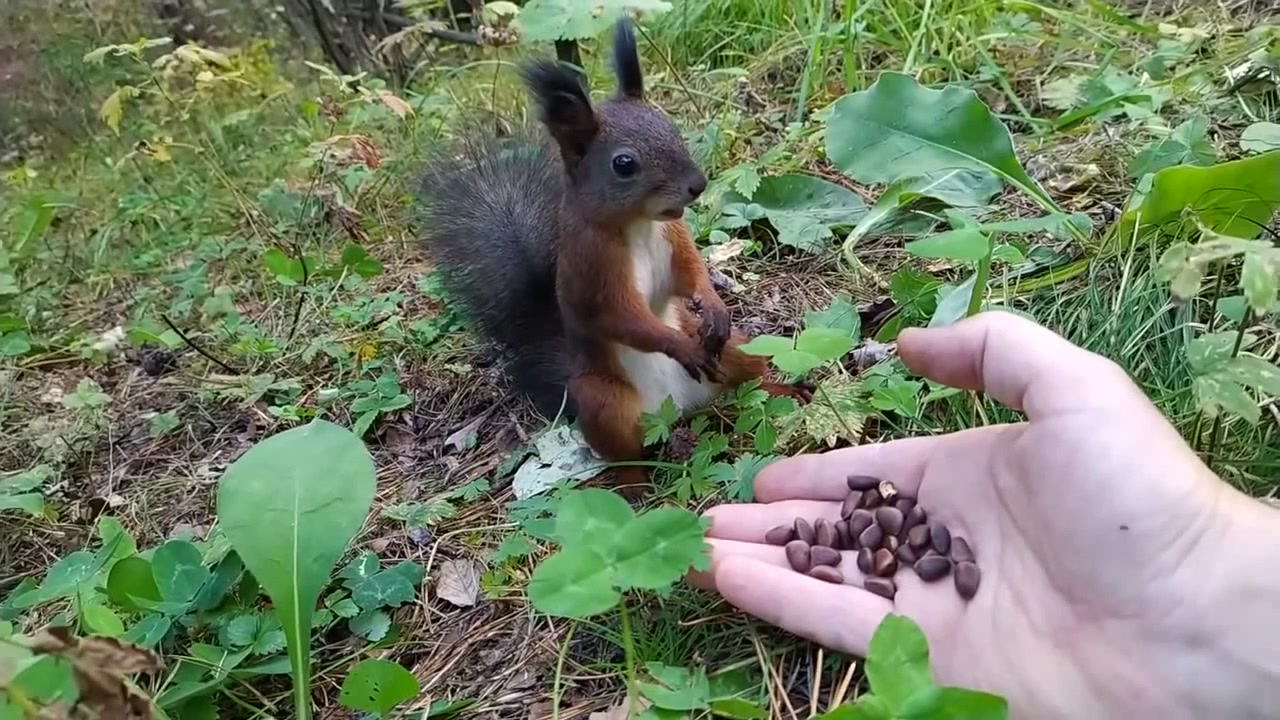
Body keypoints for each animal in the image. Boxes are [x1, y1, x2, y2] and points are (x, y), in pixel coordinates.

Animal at [416, 17, 813, 495]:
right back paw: (636, 489)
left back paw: (787, 391)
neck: (639, 225)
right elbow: (622, 317)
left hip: (737, 351)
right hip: (605, 402)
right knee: (625, 455)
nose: (697, 184)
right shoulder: (594, 268)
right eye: (624, 164)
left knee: (748, 380)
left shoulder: (673, 239)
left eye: (671, 127)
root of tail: (679, 409)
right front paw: (679, 345)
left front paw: (714, 306)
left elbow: (690, 273)